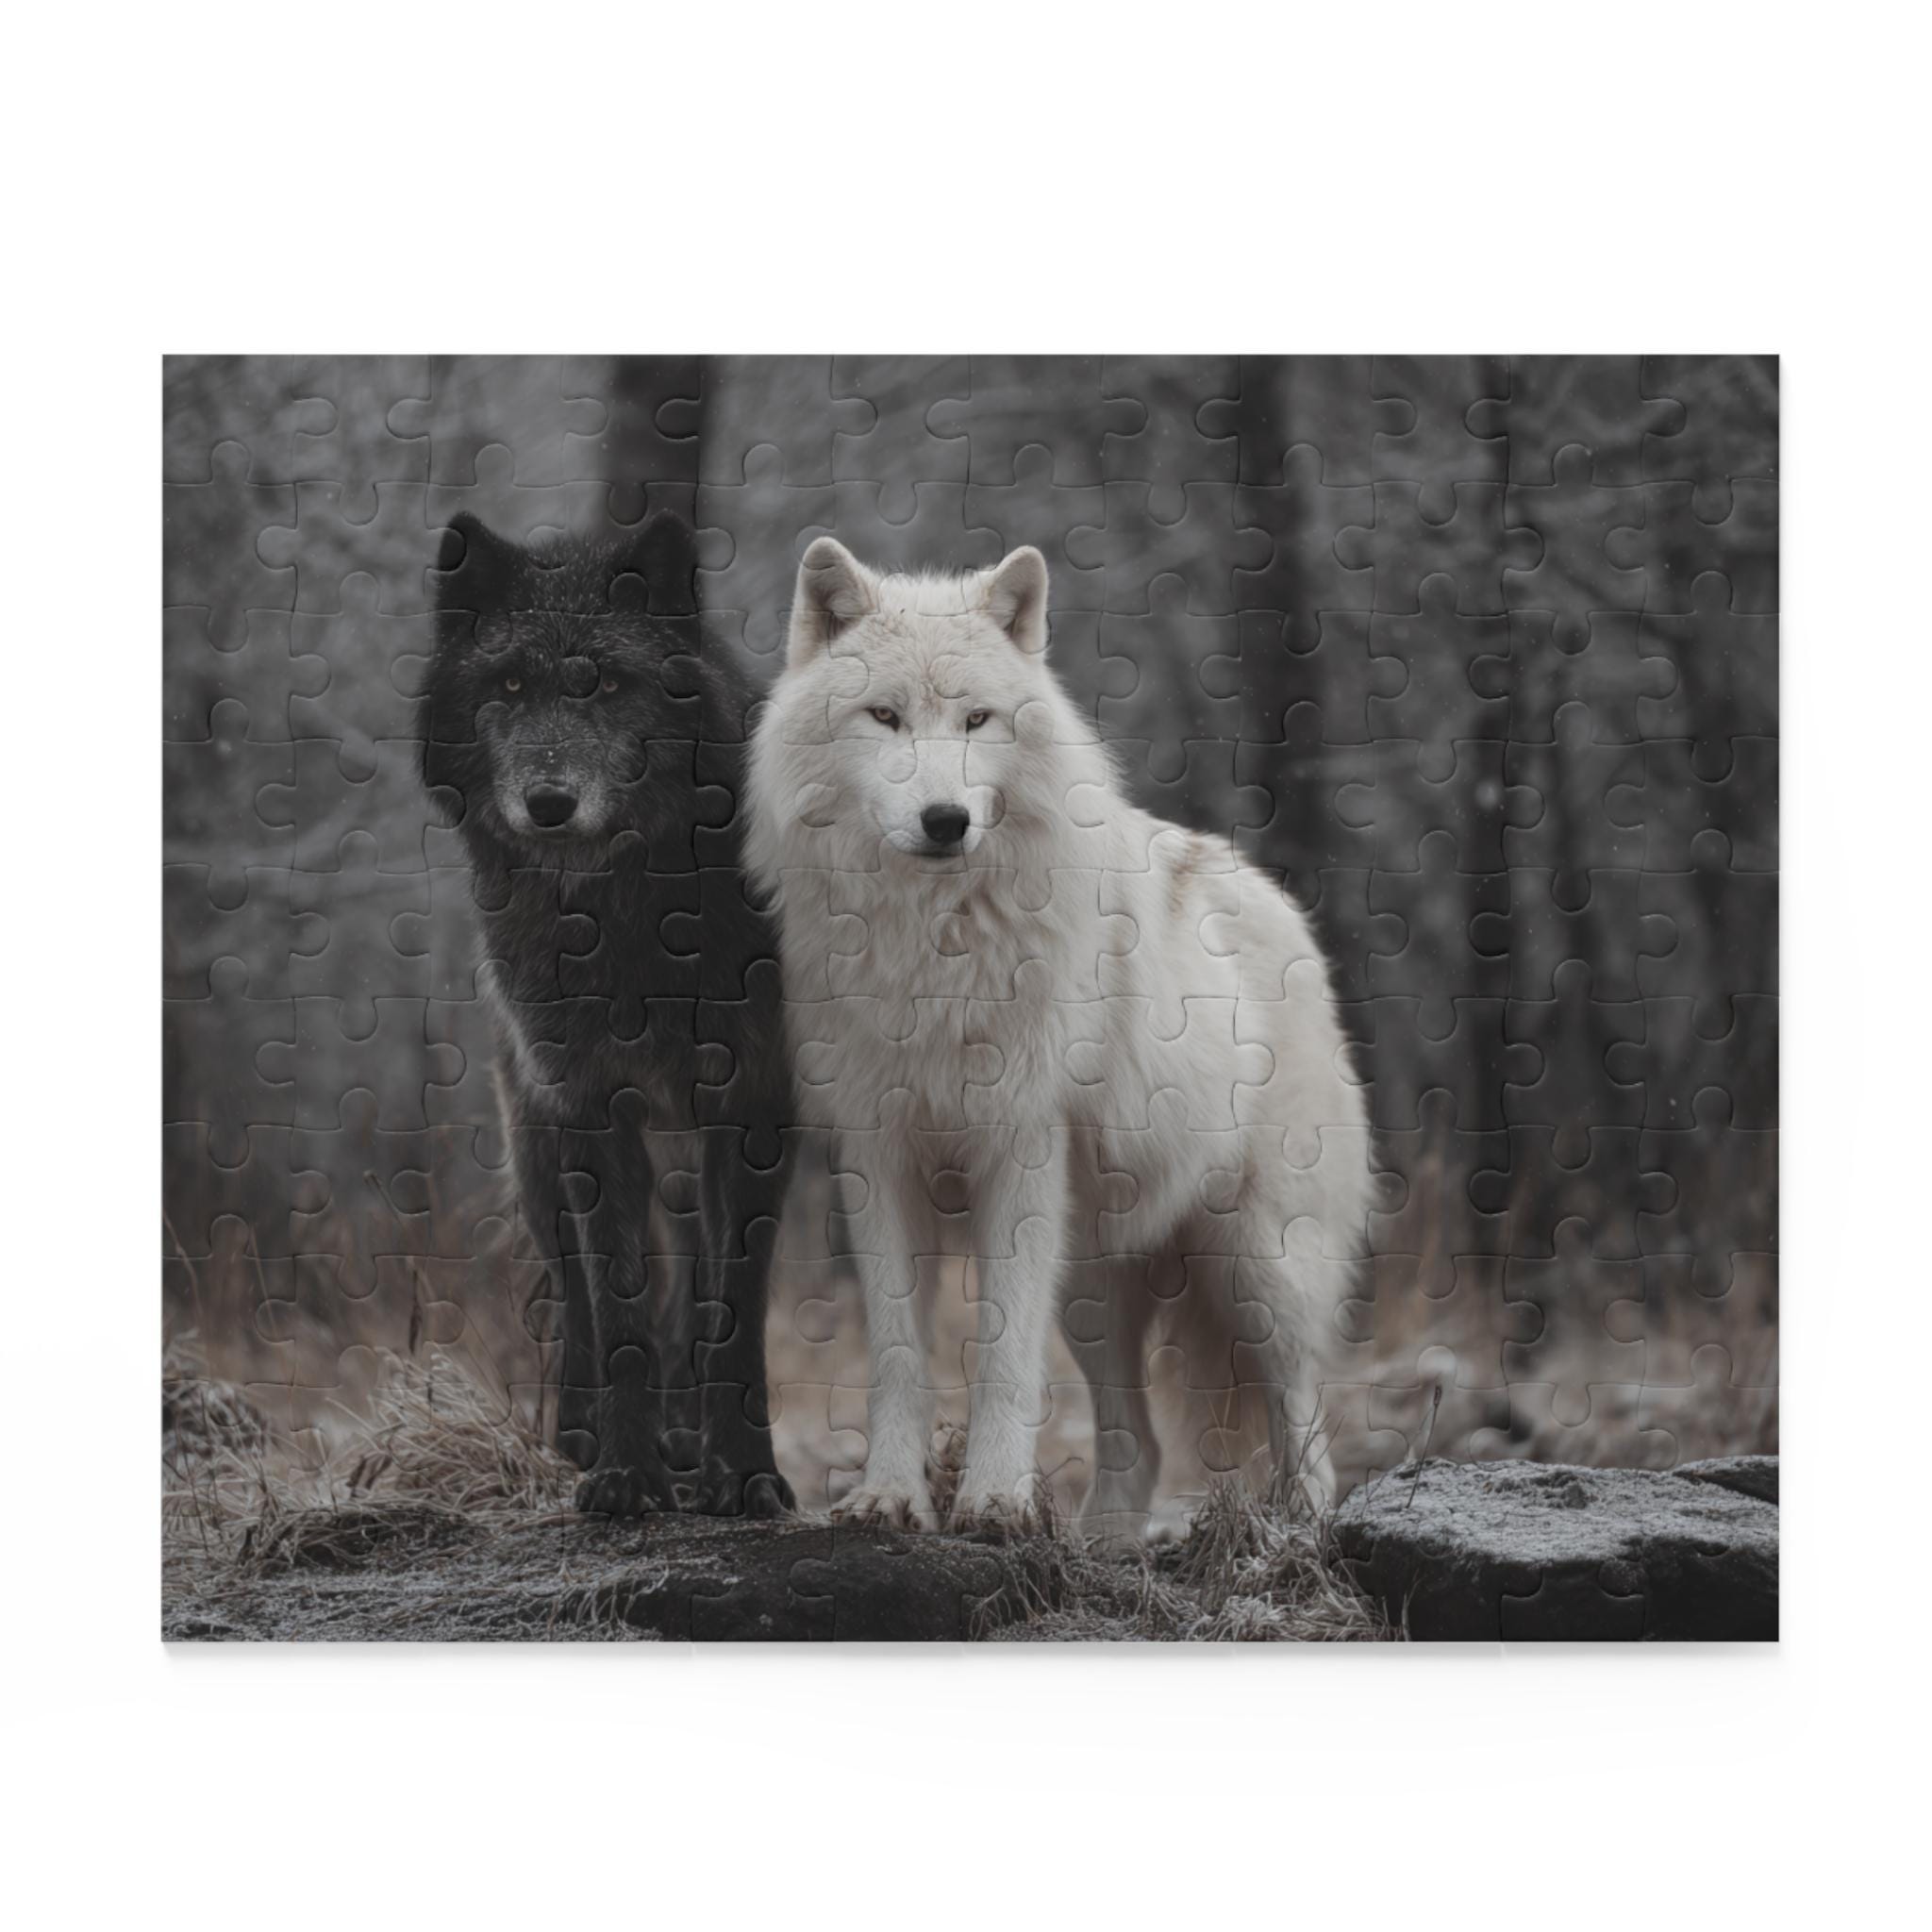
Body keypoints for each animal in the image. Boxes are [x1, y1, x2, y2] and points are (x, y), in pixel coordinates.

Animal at [420, 511, 794, 1517]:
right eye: (510, 684)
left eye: (609, 683)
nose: (549, 803)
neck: (629, 922)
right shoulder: (593, 1106)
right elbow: (619, 1302)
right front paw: (625, 1475)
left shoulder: (753, 1110)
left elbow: (731, 1318)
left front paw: (745, 1473)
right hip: (539, 1157)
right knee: (581, 1300)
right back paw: (589, 1439)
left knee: (692, 1298)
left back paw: (689, 1446)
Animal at [745, 538, 1372, 1536]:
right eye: (884, 717)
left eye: (977, 719)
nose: (946, 821)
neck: (935, 947)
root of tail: (1270, 893)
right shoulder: (878, 1156)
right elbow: (896, 1355)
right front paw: (889, 1497)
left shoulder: (1022, 1148)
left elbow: (1004, 1357)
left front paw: (996, 1502)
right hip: (1093, 1286)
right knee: (1141, 1445)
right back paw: (1104, 1544)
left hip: (1257, 1267)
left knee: (1306, 1430)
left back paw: (1291, 1531)